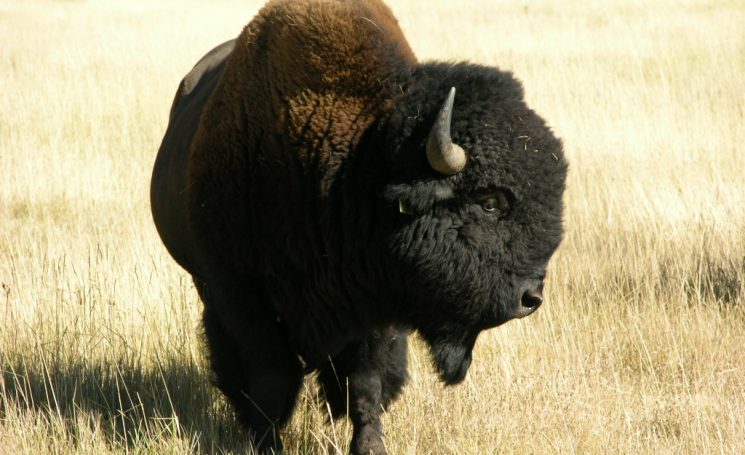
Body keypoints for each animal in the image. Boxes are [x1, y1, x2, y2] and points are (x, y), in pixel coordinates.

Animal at [150, 0, 567, 453]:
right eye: (490, 203)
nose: (530, 298)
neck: (354, 166)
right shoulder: (236, 289)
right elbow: (269, 380)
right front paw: (268, 443)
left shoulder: (376, 302)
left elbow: (365, 383)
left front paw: (369, 445)